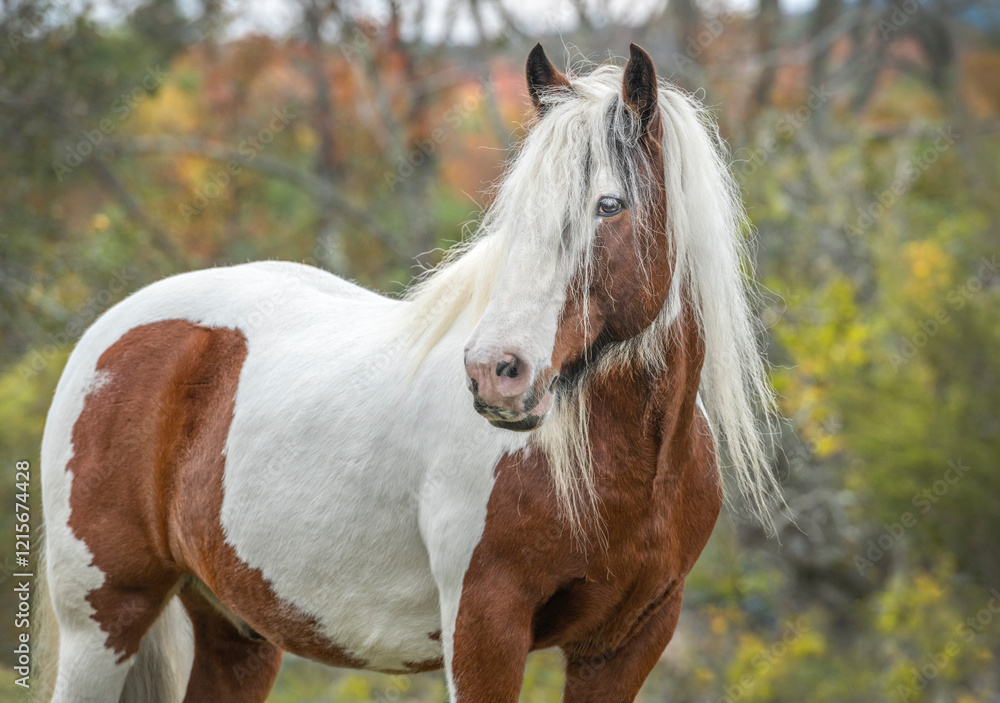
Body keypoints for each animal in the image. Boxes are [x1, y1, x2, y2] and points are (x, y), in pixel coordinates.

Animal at [38, 43, 778, 702]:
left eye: (610, 205)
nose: (495, 374)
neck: (627, 471)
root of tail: (113, 331)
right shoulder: (483, 629)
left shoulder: (626, 643)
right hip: (102, 623)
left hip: (238, 631)